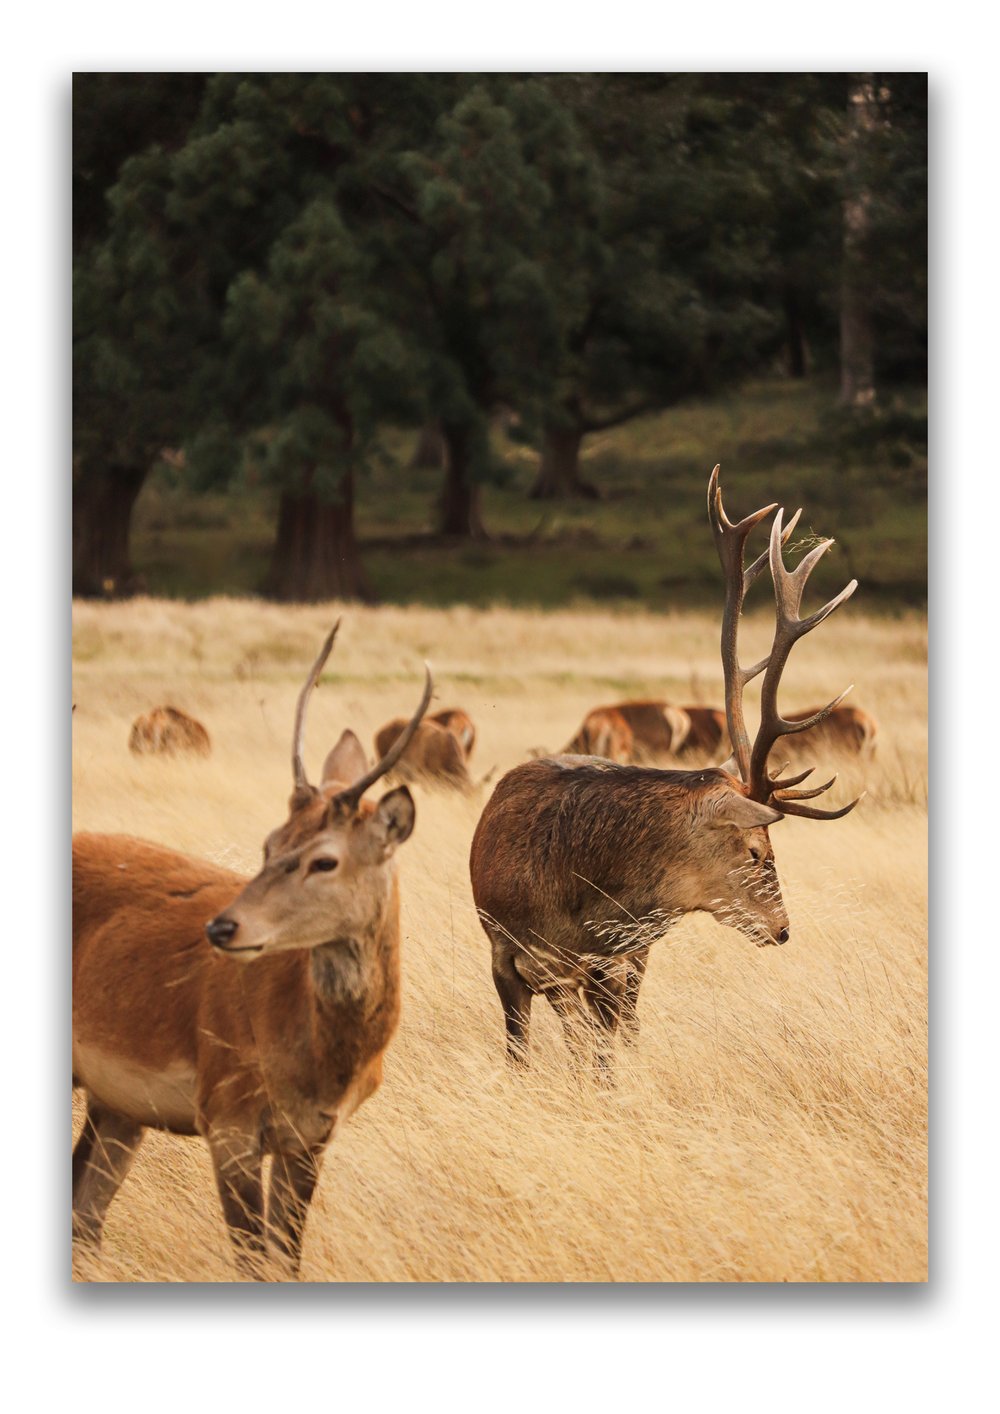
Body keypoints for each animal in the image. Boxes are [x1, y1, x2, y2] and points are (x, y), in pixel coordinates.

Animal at [73, 624, 432, 1277]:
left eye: (325, 859)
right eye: (270, 841)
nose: (223, 929)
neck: (317, 1063)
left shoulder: (311, 1139)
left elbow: (286, 1260)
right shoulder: (227, 1118)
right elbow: (252, 1261)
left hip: (117, 1105)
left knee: (83, 1211)